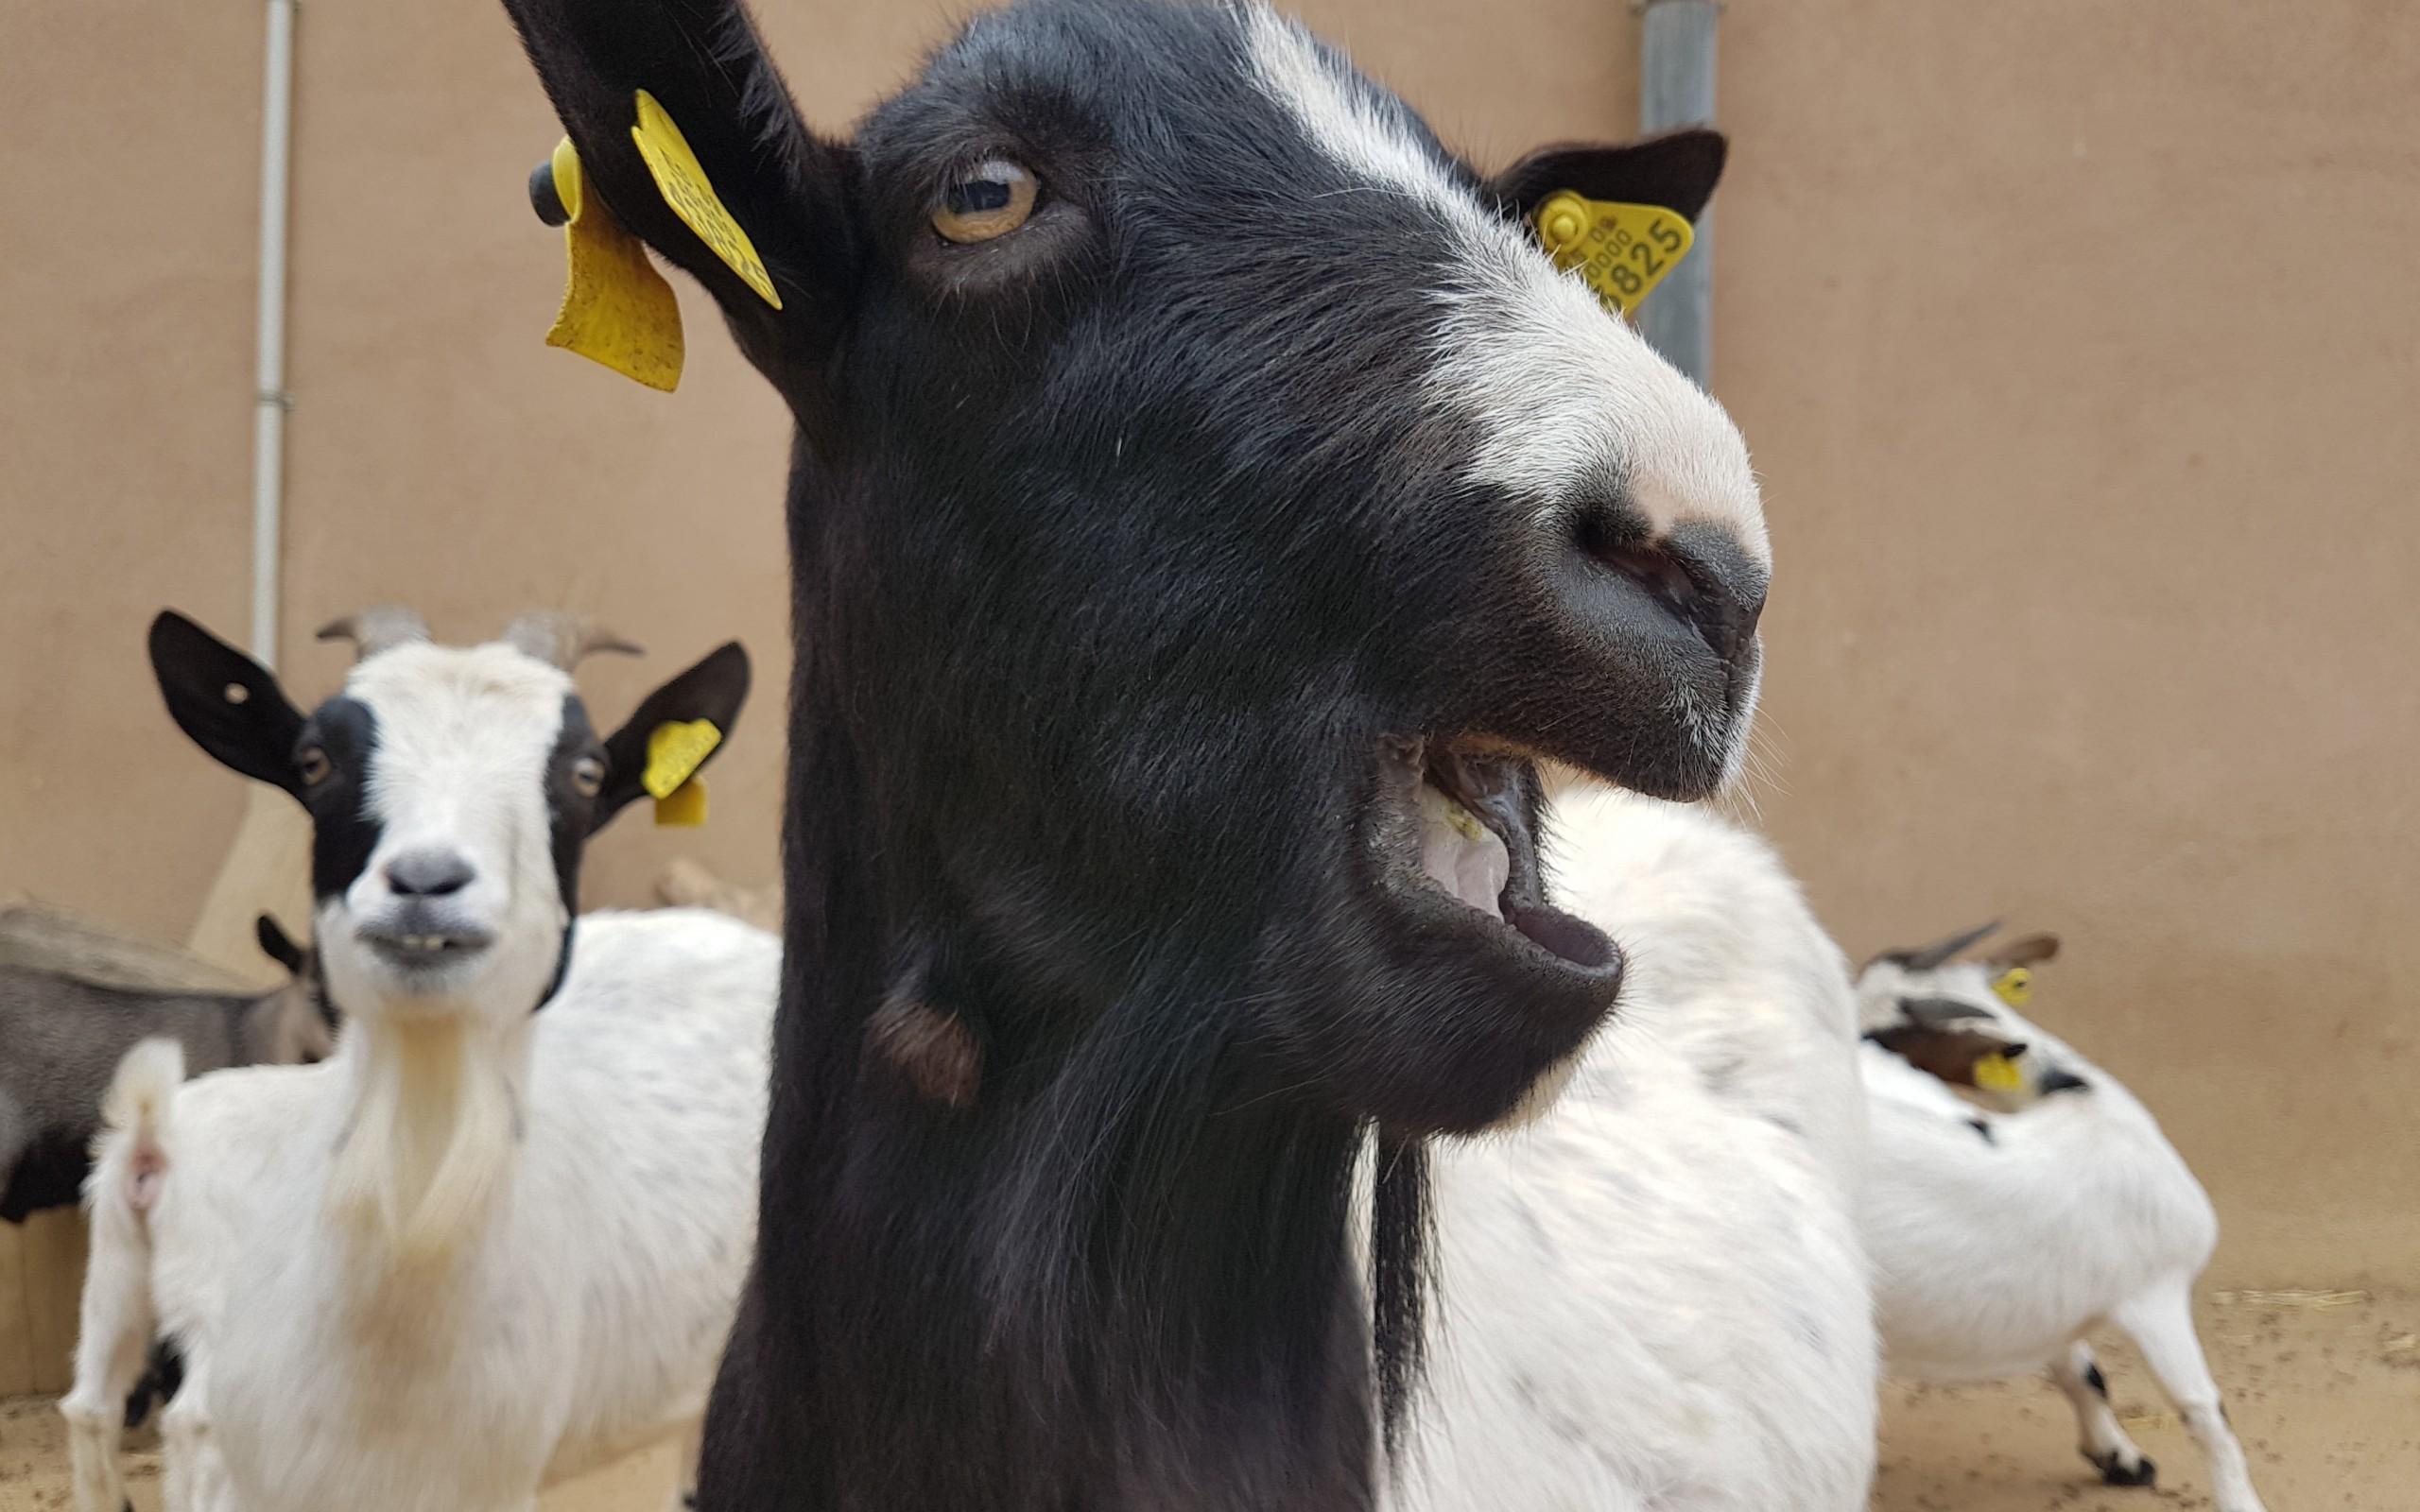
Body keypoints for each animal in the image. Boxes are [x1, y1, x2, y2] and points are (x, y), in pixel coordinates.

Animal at [1857, 922, 2268, 1512]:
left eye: (1882, 1035)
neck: (2086, 1108)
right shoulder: (2158, 1293)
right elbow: (2206, 1412)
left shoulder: (2055, 1297)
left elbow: (2085, 1371)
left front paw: (2120, 1460)